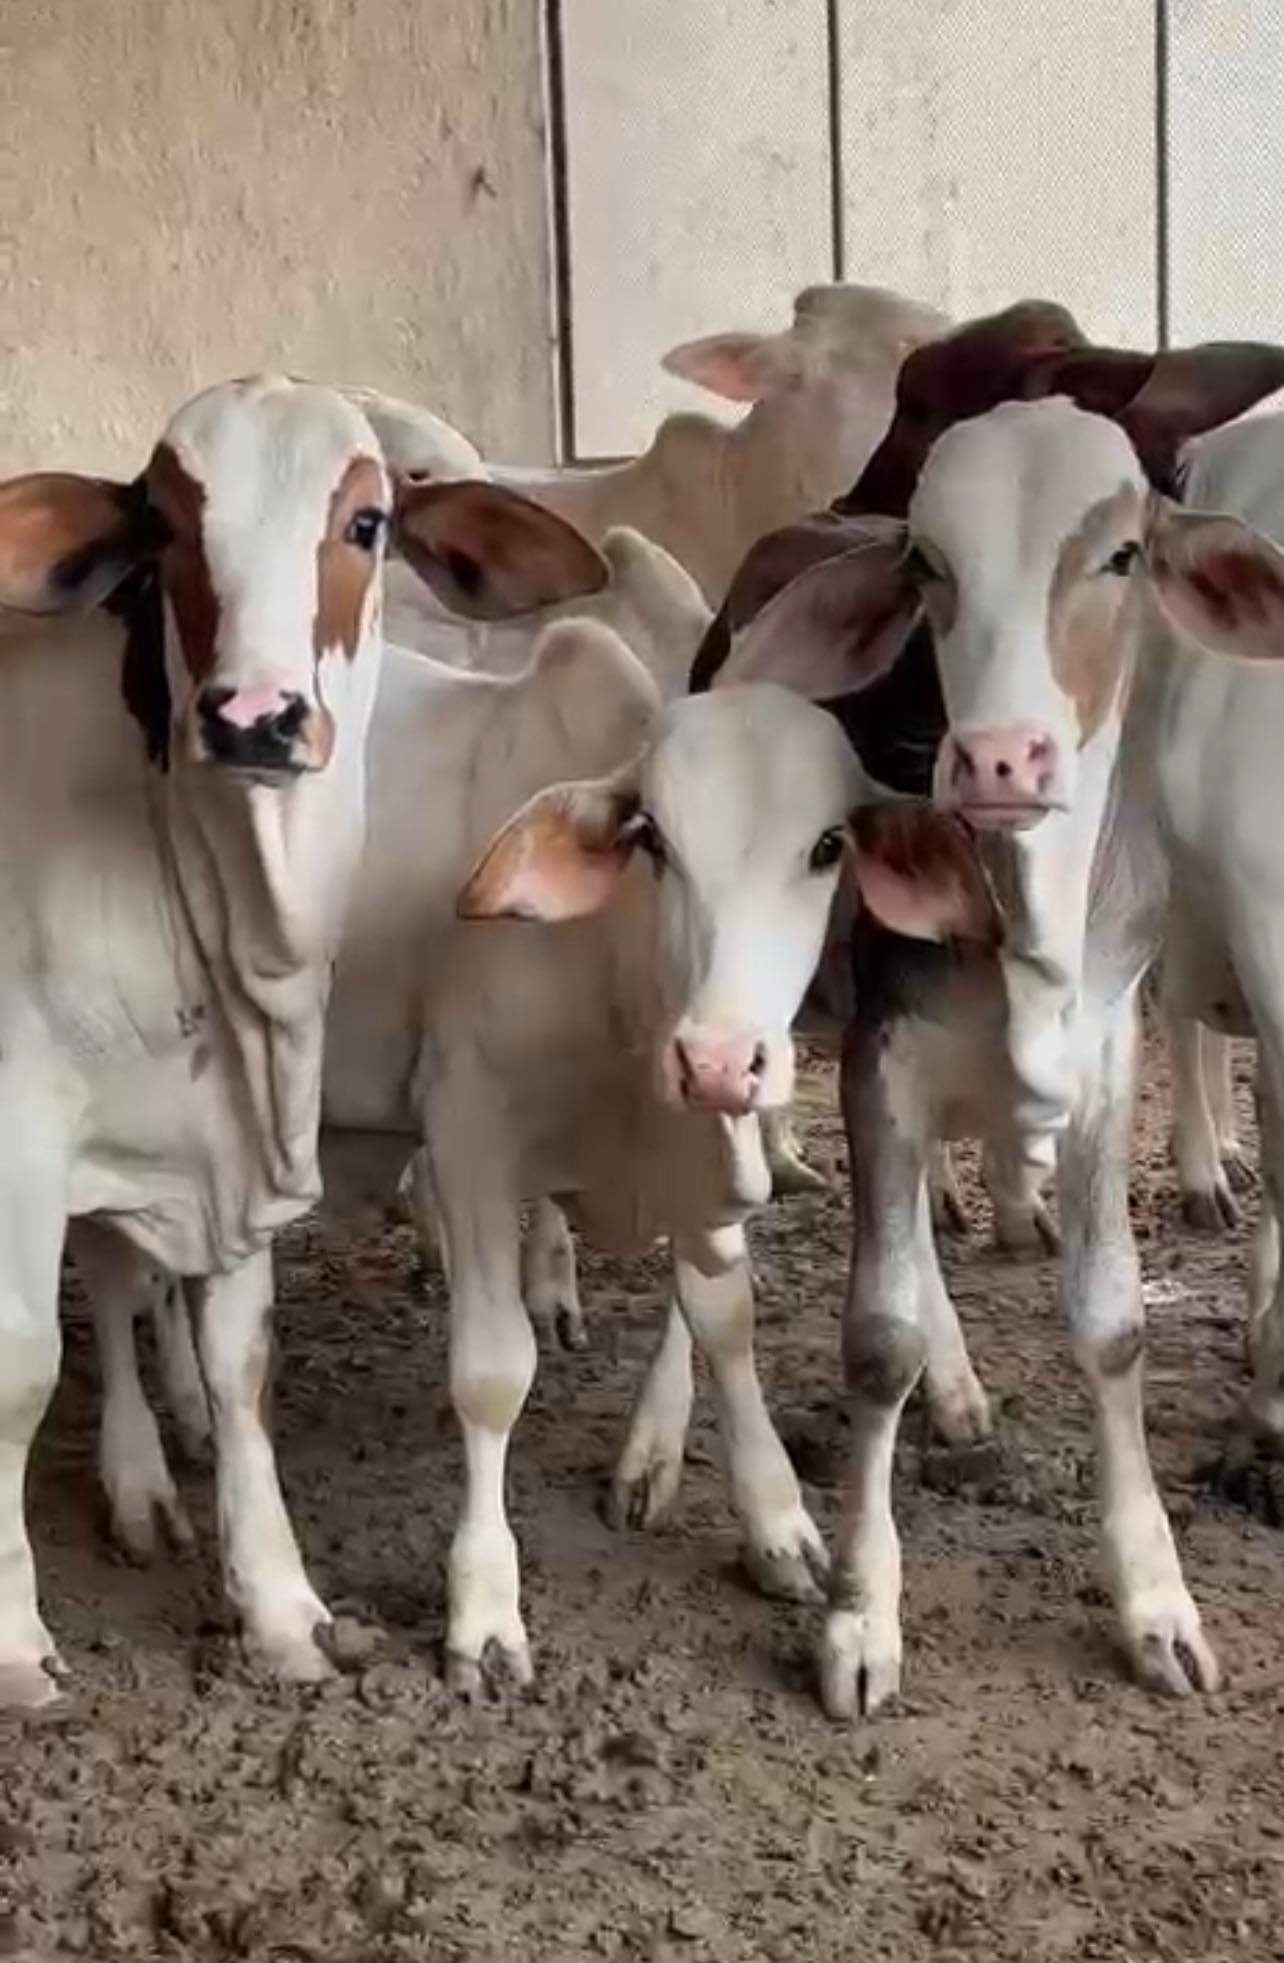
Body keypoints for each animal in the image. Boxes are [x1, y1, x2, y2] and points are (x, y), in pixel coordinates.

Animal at [0, 377, 608, 1706]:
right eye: (166, 526)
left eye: (367, 523)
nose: (253, 716)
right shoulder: (23, 1134)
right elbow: (17, 1370)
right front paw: (13, 1643)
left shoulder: (215, 1128)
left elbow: (239, 1362)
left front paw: (281, 1612)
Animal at [715, 350, 1284, 1714]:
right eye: (929, 561)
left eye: (1122, 554)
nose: (999, 761)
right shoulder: (882, 1056)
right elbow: (876, 1338)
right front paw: (861, 1616)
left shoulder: (1106, 1054)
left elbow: (1113, 1321)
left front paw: (1156, 1600)